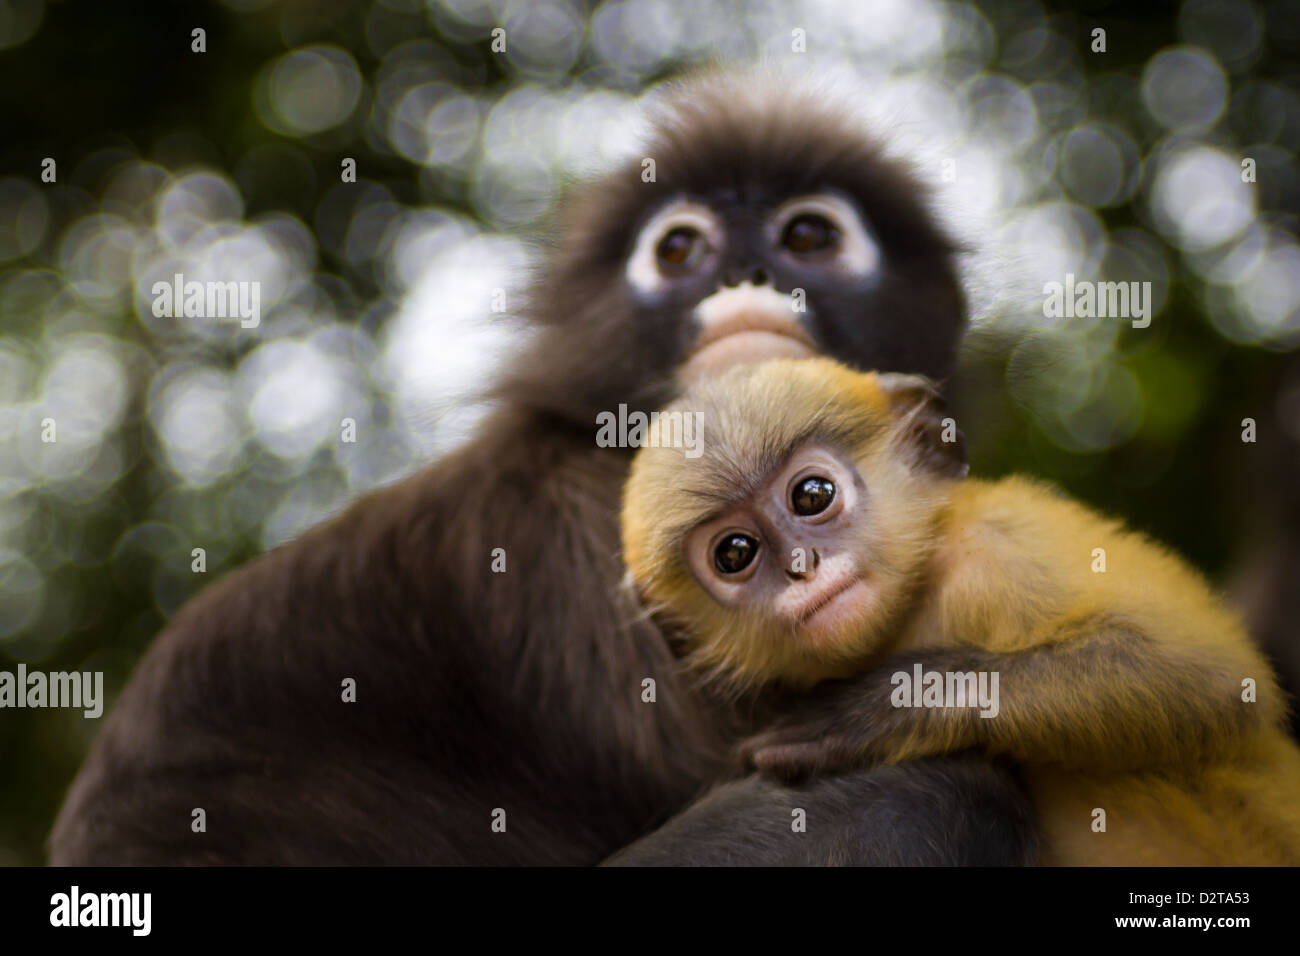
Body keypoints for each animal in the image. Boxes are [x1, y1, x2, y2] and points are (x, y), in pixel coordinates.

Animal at [621, 356, 1300, 865]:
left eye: (812, 494)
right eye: (735, 553)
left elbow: (1203, 675)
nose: (801, 565)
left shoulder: (1000, 551)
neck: (918, 595)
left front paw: (879, 708)